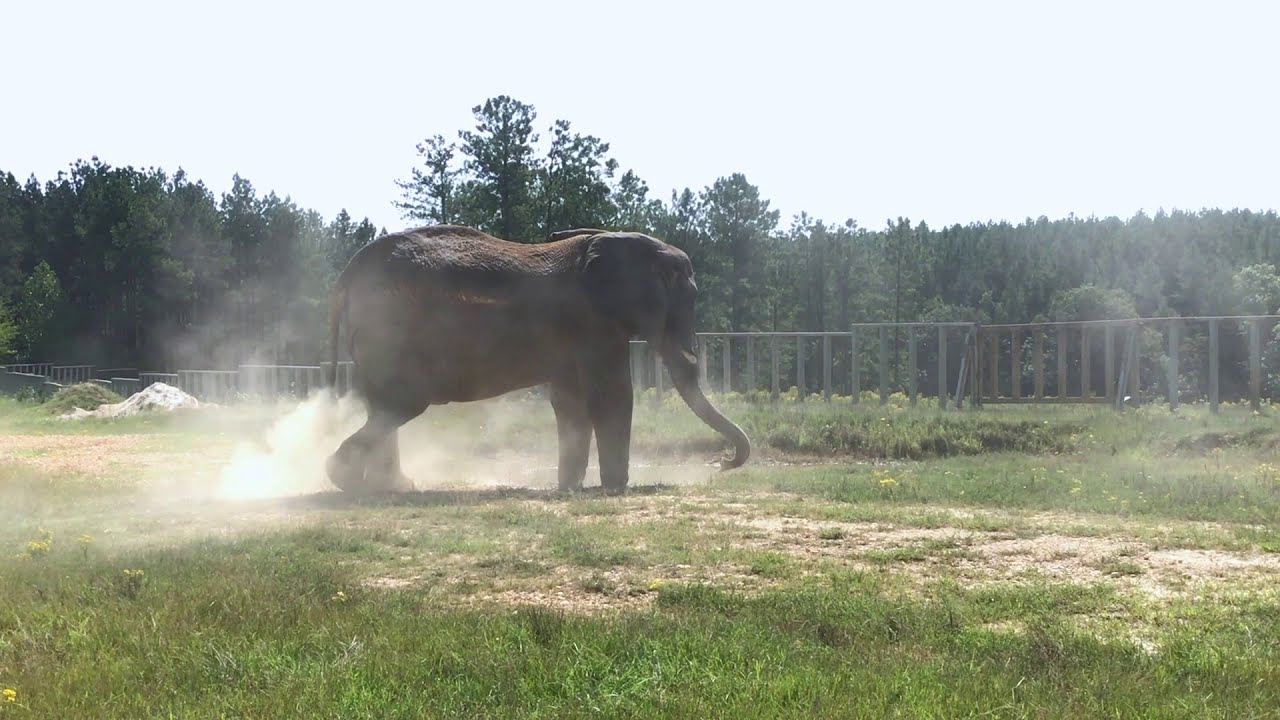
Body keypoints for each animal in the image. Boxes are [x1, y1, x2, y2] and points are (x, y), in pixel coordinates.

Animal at [323, 223, 750, 495]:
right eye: (687, 301)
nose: (721, 464)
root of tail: (345, 278)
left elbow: (569, 403)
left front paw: (570, 487)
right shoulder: (594, 324)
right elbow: (610, 396)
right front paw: (614, 487)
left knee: (384, 407)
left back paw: (392, 486)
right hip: (390, 335)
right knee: (402, 404)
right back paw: (350, 482)